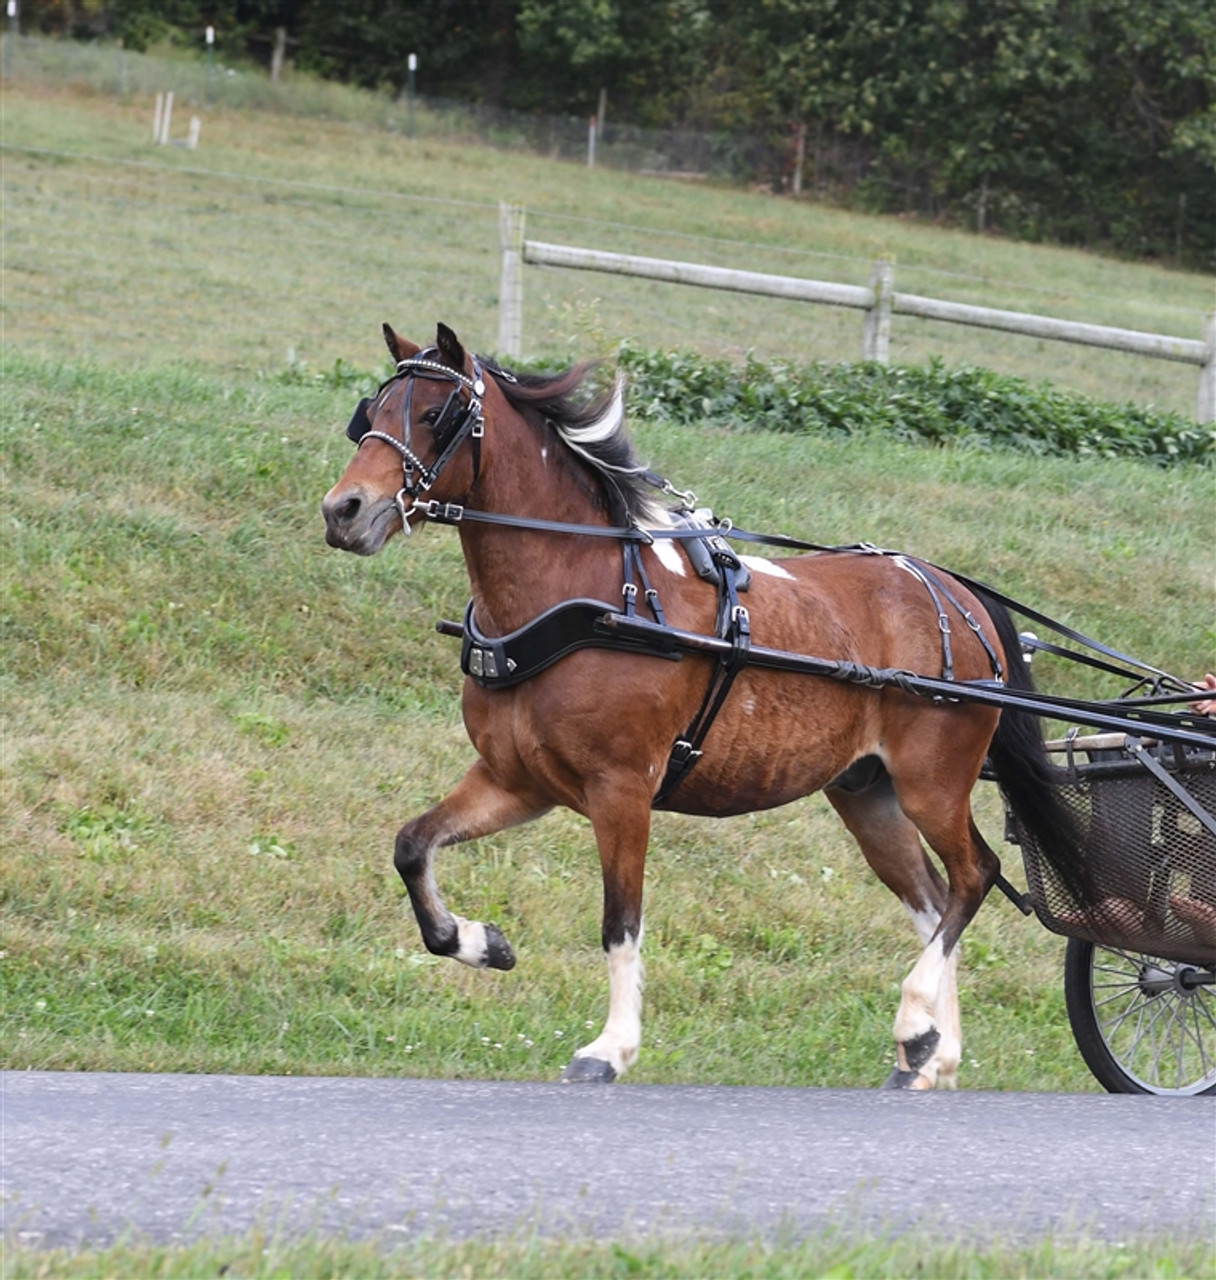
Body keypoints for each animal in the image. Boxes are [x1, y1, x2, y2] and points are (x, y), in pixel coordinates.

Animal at [321, 321, 1083, 1089]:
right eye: (371, 411)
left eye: (435, 414)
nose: (342, 510)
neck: (589, 594)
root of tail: (956, 593)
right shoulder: (518, 782)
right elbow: (413, 845)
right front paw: (479, 942)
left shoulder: (622, 789)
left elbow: (620, 920)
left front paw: (610, 1048)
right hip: (868, 793)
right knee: (931, 899)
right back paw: (930, 1053)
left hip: (933, 782)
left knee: (973, 877)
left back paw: (917, 1022)